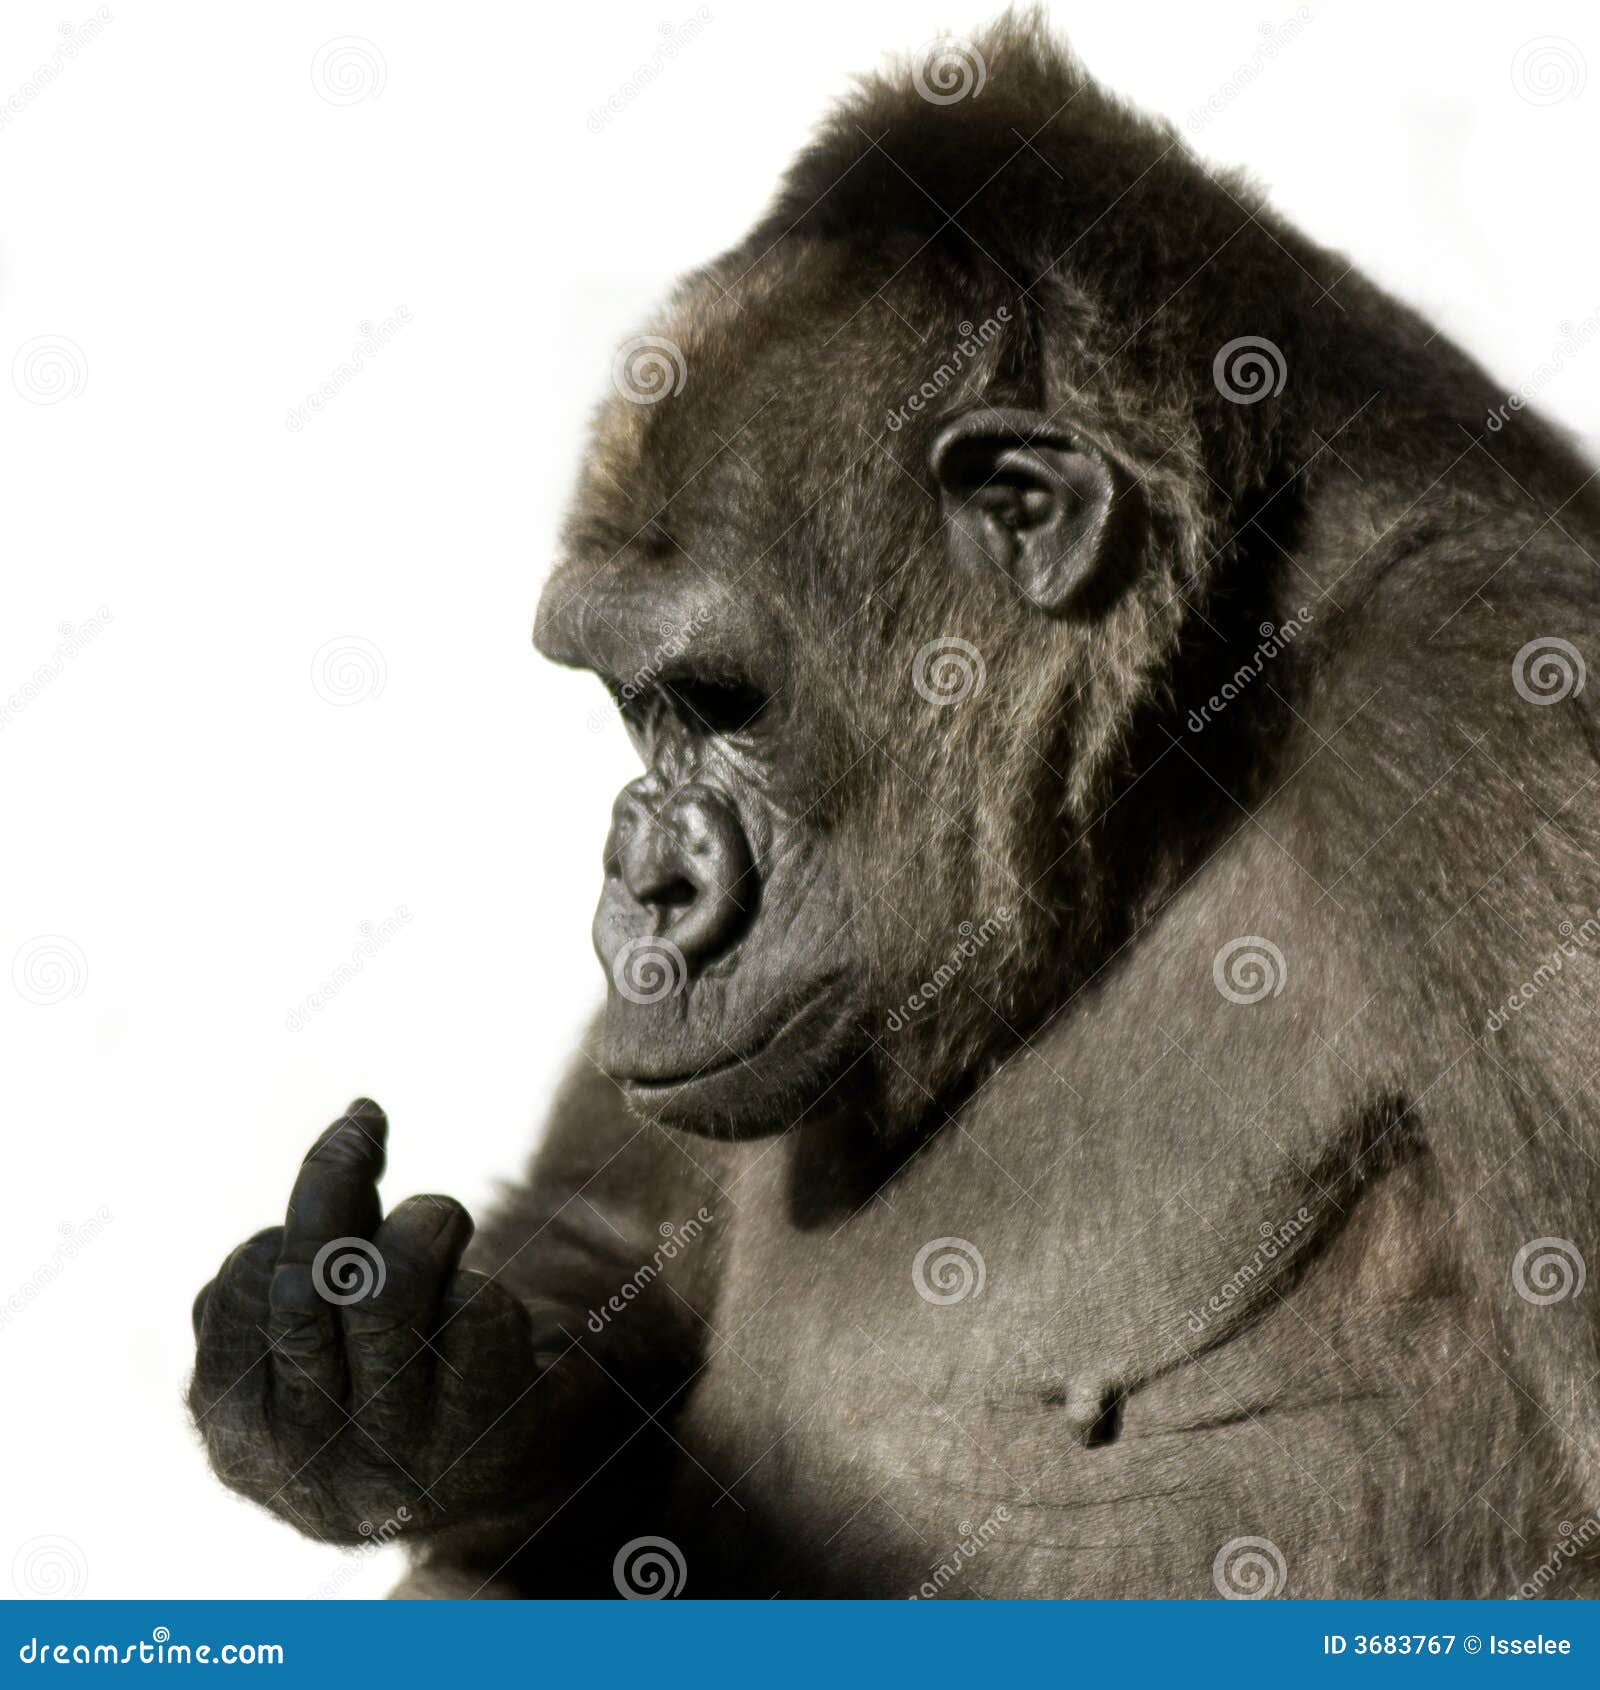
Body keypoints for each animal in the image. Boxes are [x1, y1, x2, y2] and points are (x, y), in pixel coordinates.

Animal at [191, 14, 1600, 1599]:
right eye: (633, 706)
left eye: (721, 701)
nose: (644, 882)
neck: (1188, 730)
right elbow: (605, 1275)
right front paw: (375, 1386)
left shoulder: (1506, 716)